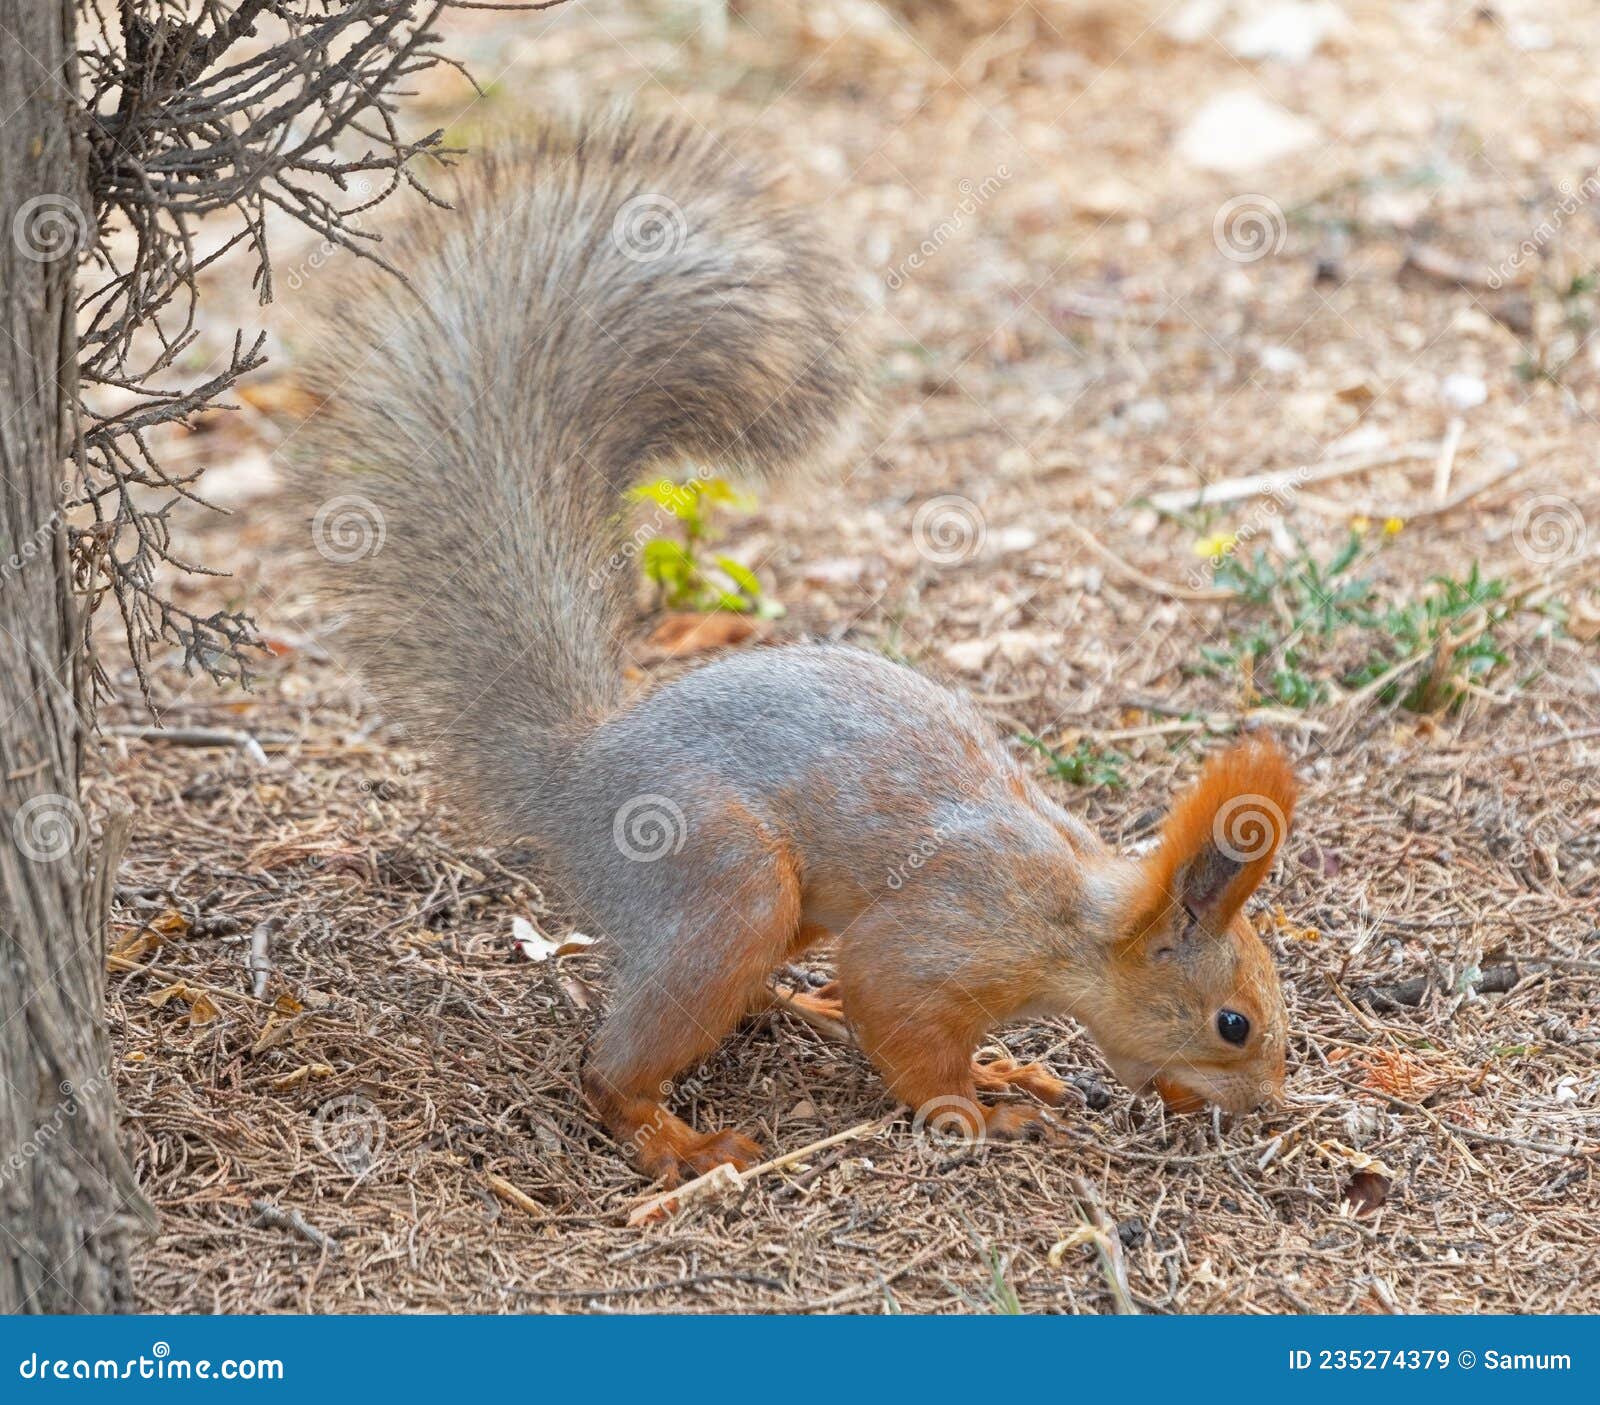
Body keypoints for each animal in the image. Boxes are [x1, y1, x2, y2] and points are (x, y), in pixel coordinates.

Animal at [299, 113, 1300, 1186]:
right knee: (616, 1064)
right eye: (1233, 1023)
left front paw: (1003, 1070)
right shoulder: (945, 936)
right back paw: (679, 1144)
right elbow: (903, 1020)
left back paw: (804, 1008)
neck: (1075, 919)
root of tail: (573, 774)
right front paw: (978, 1110)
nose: (1272, 1107)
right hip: (725, 876)